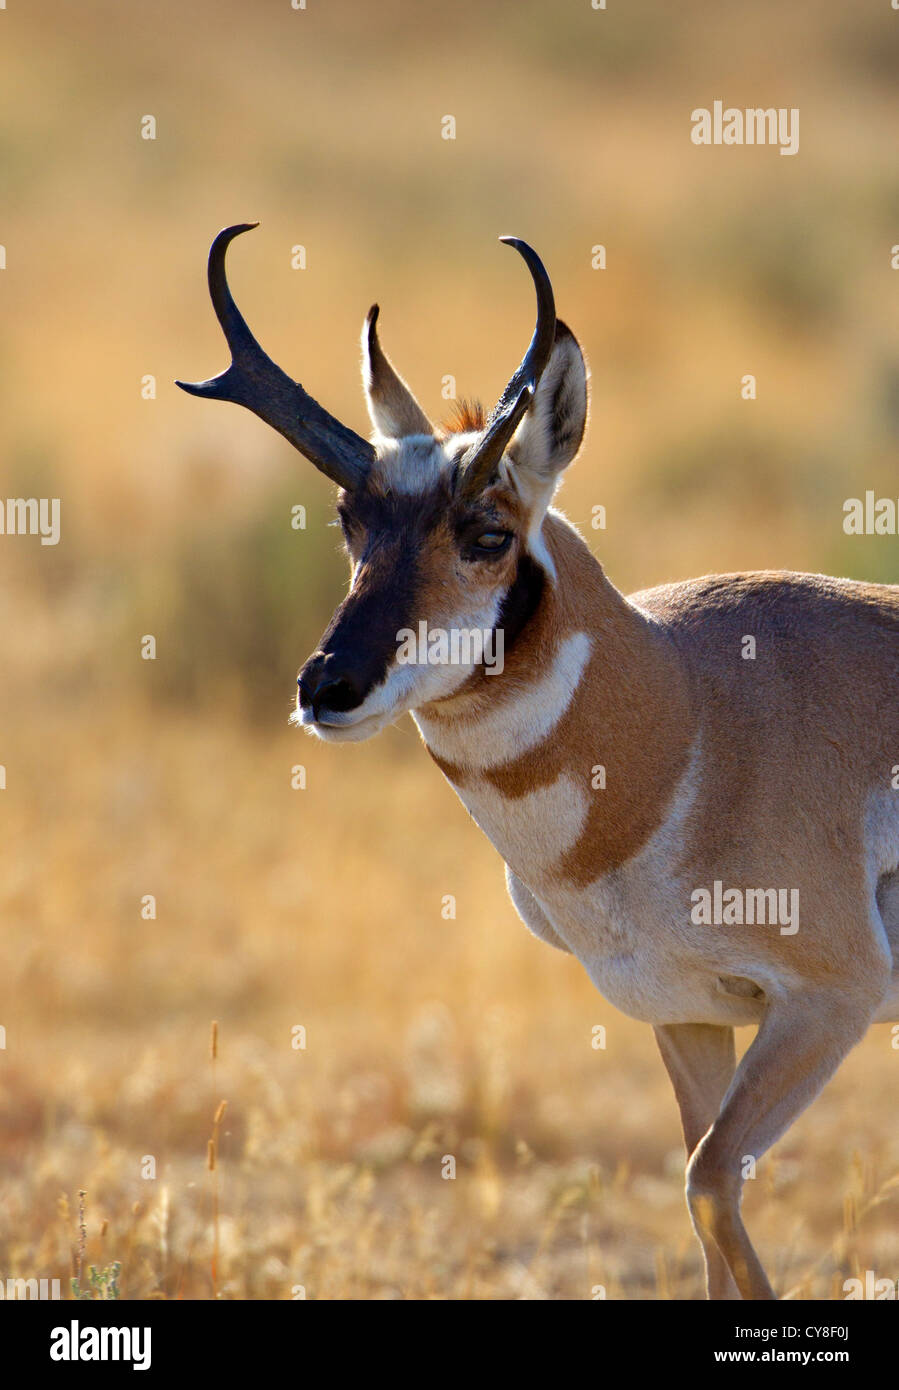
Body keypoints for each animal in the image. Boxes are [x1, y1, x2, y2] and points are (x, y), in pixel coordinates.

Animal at [178, 223, 899, 1300]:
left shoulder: (829, 1001)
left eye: (487, 532)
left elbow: (707, 1183)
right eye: (351, 520)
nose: (326, 685)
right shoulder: (685, 1016)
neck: (689, 713)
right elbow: (706, 1206)